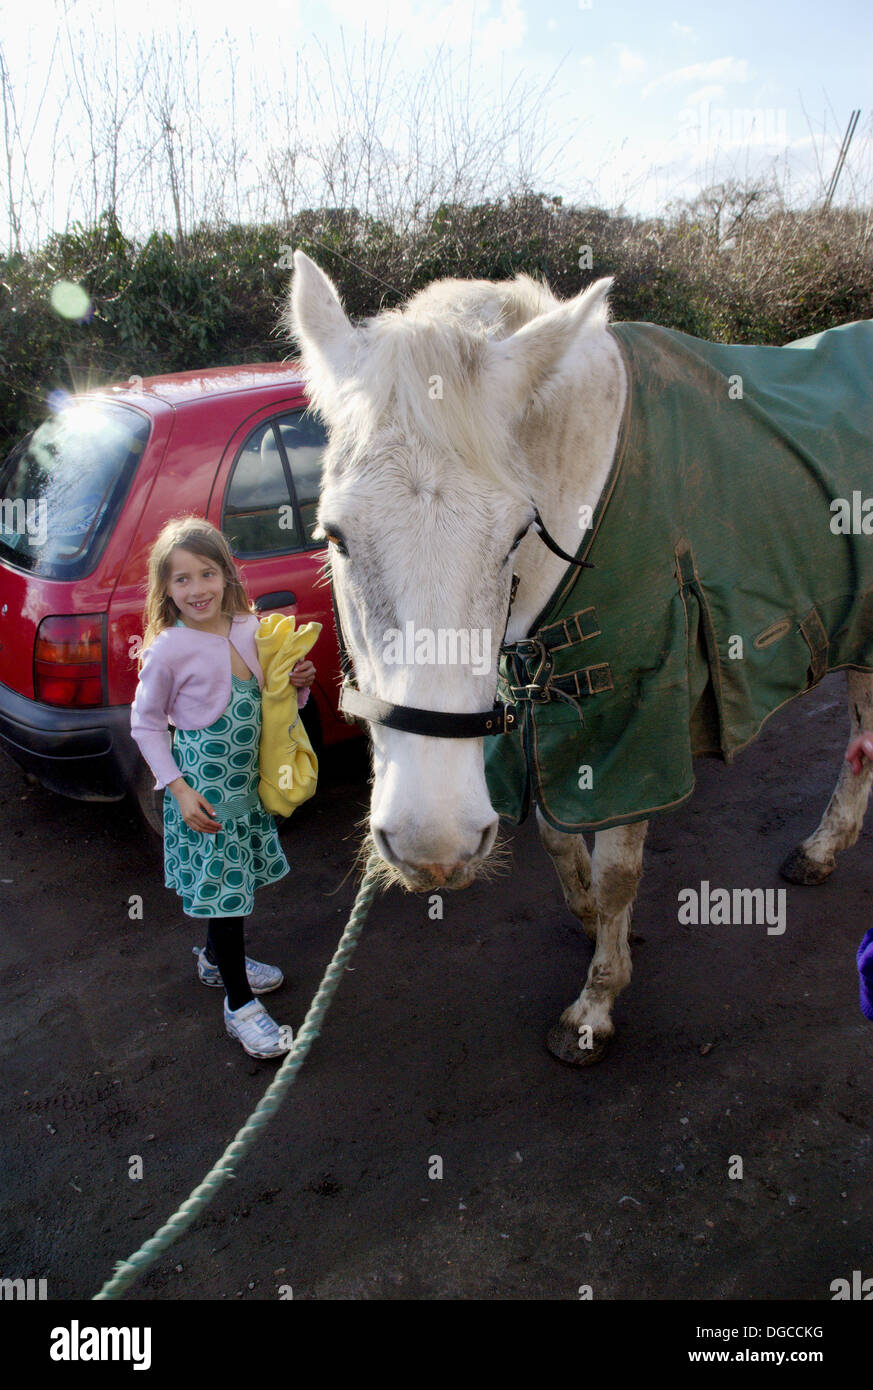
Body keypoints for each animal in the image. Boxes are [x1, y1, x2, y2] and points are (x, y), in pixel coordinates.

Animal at [285, 249, 873, 1065]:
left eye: (514, 535)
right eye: (334, 536)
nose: (432, 843)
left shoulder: (639, 713)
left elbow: (620, 868)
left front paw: (596, 1002)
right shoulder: (543, 712)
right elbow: (562, 842)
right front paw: (595, 926)